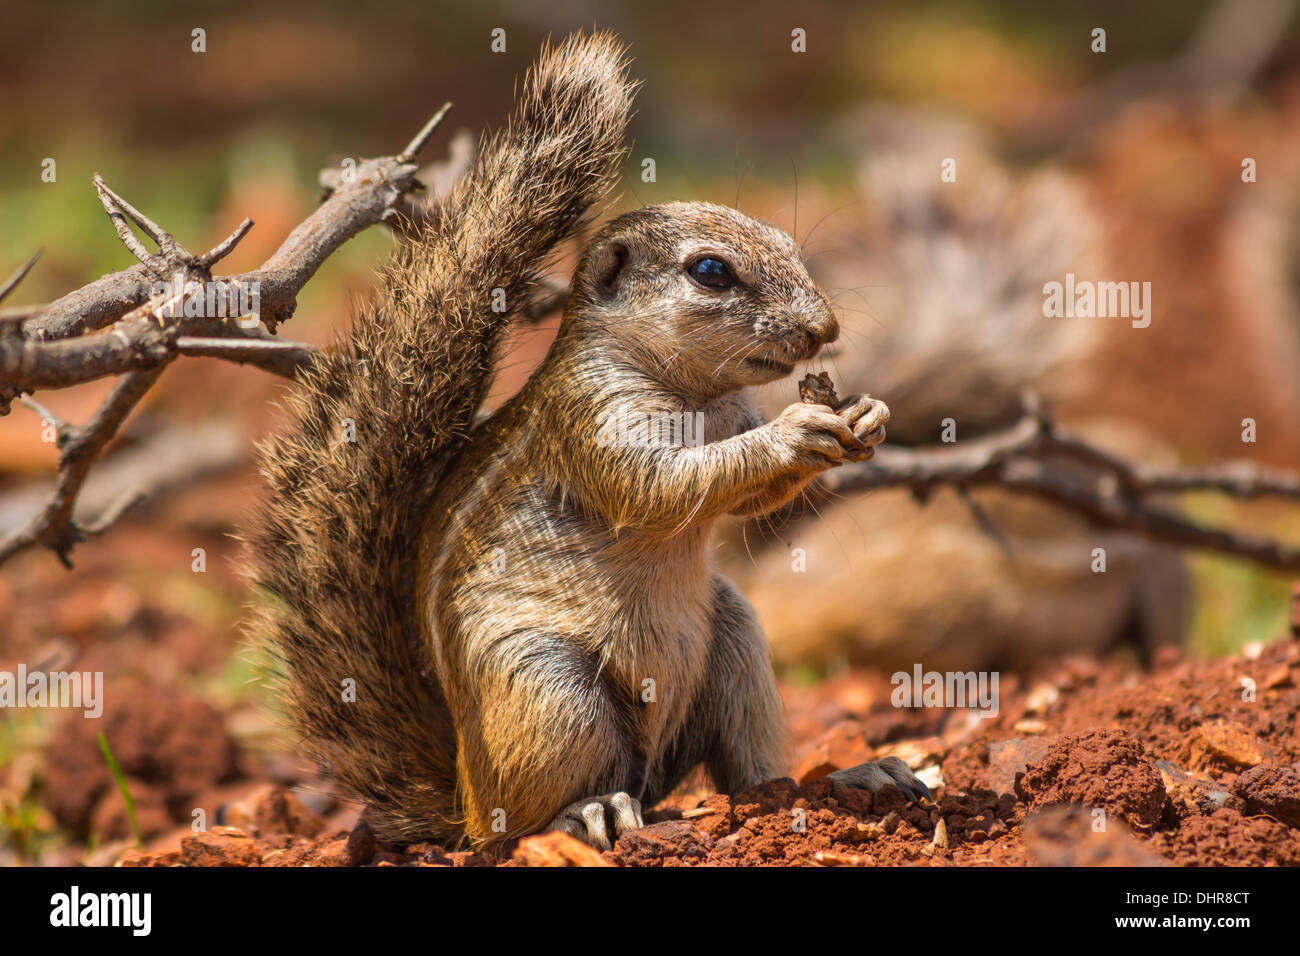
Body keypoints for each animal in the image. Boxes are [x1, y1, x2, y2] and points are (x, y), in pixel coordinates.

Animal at [245, 31, 930, 850]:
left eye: (789, 243)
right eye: (710, 271)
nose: (824, 329)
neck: (694, 394)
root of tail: (457, 791)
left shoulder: (729, 411)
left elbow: (751, 503)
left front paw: (866, 415)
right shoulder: (589, 418)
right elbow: (661, 486)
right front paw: (797, 433)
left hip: (733, 644)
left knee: (749, 775)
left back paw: (855, 775)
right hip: (550, 691)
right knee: (517, 824)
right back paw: (587, 810)